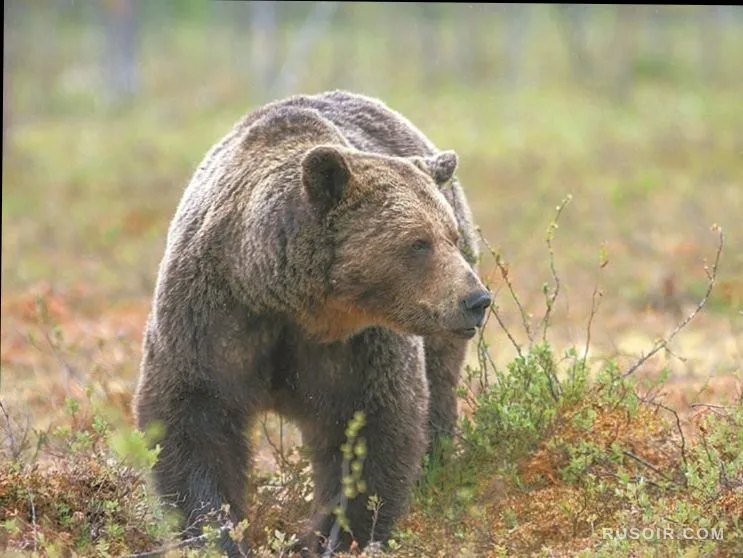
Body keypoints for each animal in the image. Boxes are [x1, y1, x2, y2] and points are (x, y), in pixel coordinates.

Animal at [133, 90, 490, 557]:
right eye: (419, 243)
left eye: (450, 236)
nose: (477, 300)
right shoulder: (210, 319)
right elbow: (193, 420)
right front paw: (217, 532)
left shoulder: (358, 346)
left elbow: (373, 429)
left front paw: (332, 537)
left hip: (437, 343)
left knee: (439, 392)